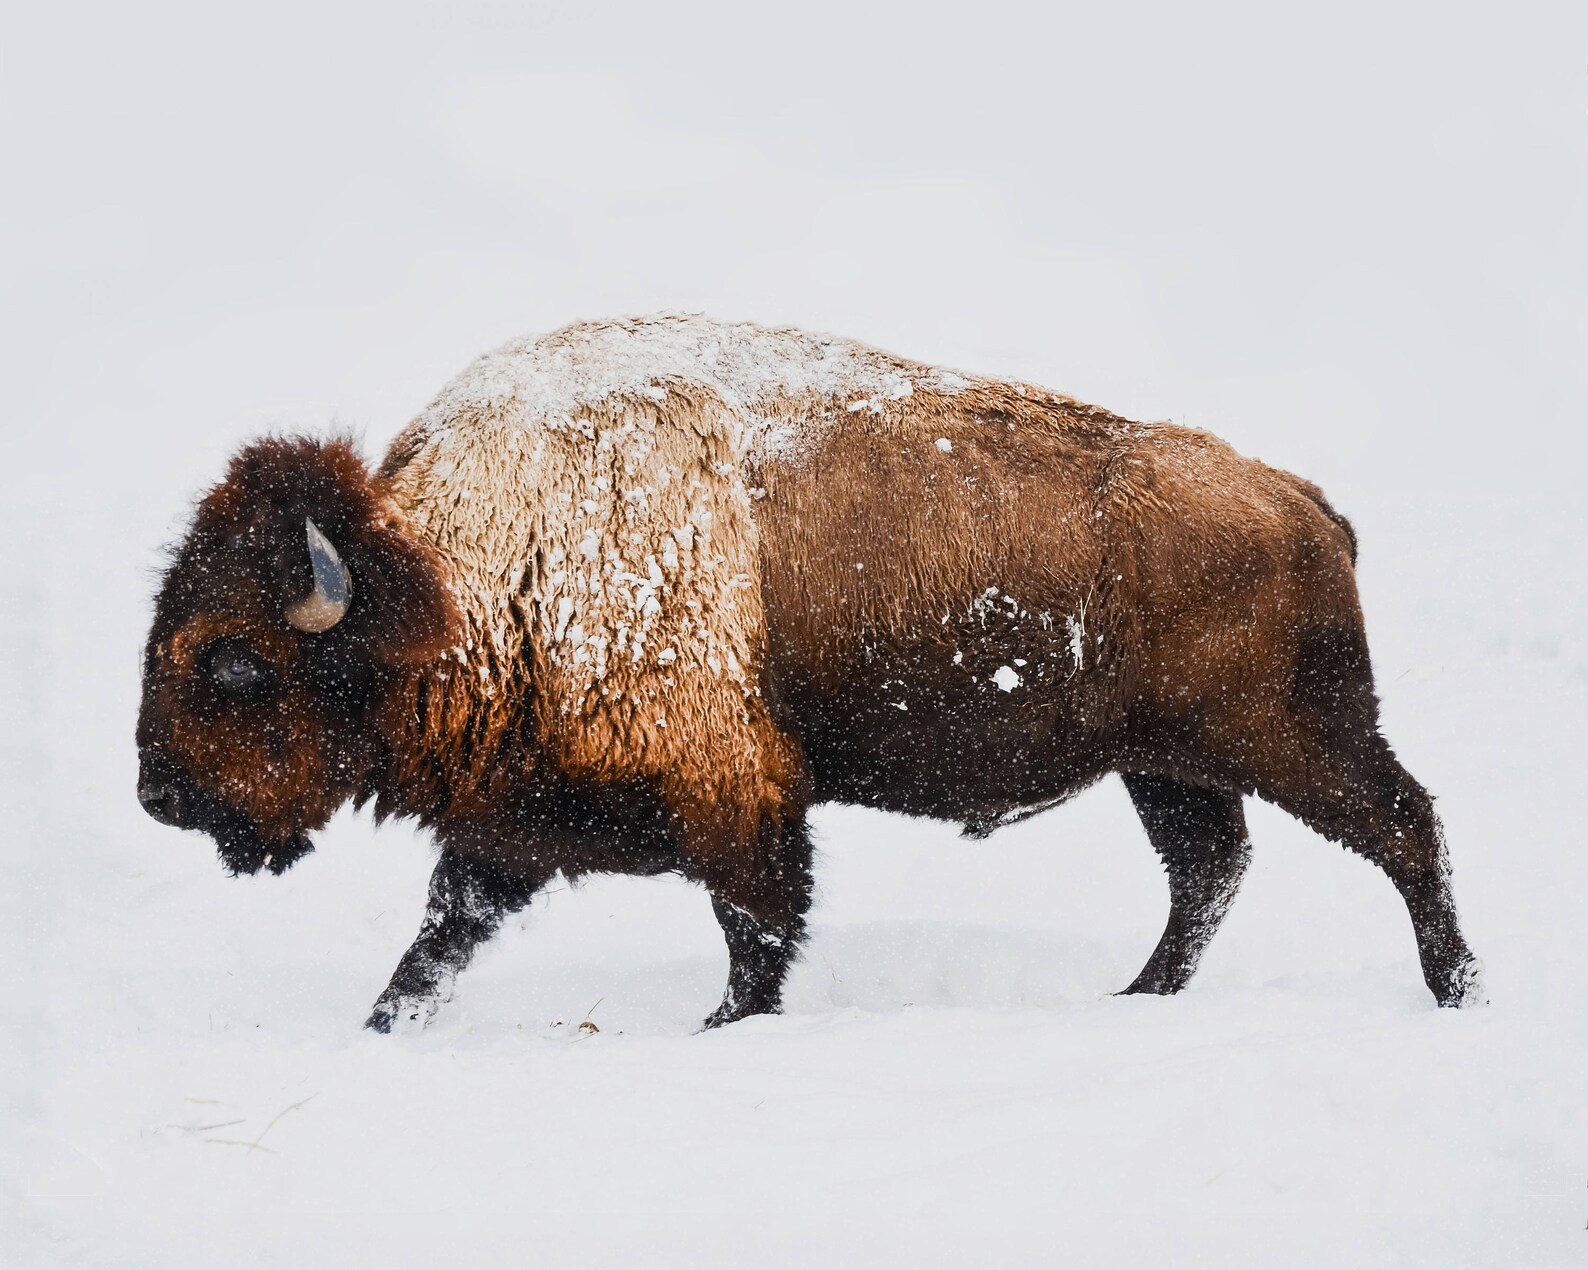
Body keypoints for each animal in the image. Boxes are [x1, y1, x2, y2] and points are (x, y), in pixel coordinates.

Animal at [136, 314, 1485, 1030]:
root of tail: (1300, 500)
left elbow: (755, 933)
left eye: (236, 659)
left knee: (1403, 826)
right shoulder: (511, 827)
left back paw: (1455, 993)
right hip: (1164, 766)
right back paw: (1136, 996)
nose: (157, 795)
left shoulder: (737, 800)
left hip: (1293, 740)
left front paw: (723, 1027)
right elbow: (437, 941)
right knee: (1210, 869)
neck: (457, 568)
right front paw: (379, 1030)